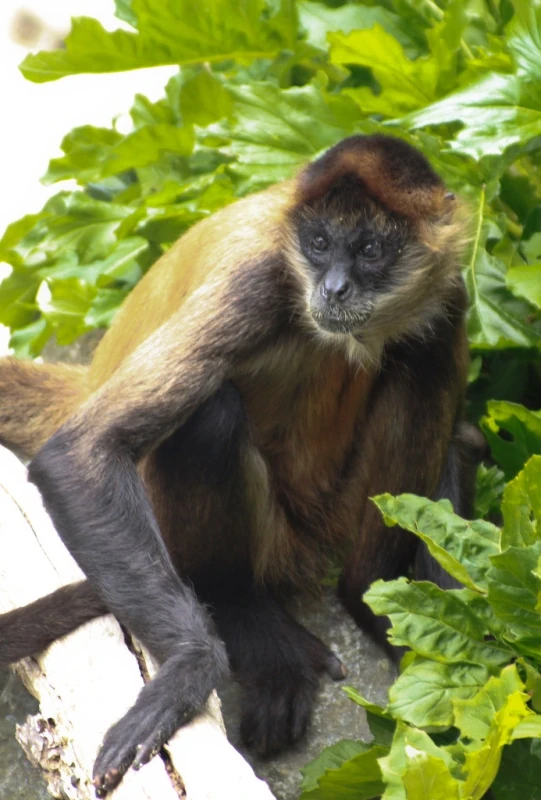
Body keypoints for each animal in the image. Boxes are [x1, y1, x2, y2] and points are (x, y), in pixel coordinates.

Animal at [0, 135, 472, 796]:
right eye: (319, 243)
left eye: (370, 250)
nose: (334, 289)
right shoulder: (257, 282)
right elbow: (80, 454)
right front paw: (188, 673)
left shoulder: (444, 277)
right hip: (267, 531)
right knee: (211, 415)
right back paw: (248, 615)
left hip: (347, 500)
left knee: (425, 345)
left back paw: (365, 593)